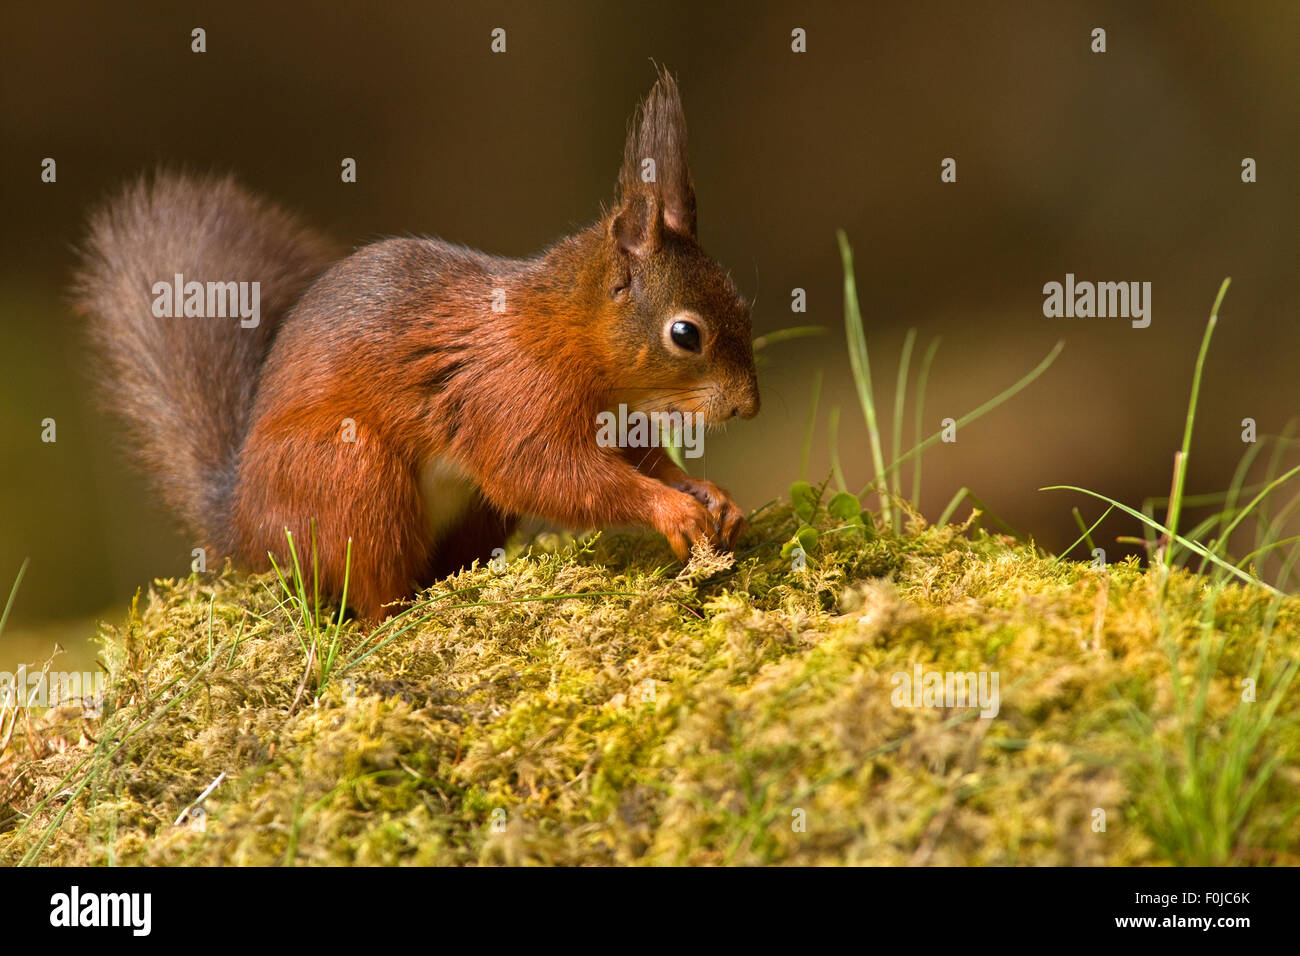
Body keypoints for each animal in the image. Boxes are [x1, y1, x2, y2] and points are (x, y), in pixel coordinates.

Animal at [74, 70, 760, 620]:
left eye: (742, 305)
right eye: (685, 334)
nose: (747, 408)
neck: (566, 332)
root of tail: (245, 526)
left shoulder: (615, 416)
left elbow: (642, 459)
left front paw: (708, 494)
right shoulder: (510, 393)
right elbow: (544, 472)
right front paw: (670, 510)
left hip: (465, 511)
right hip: (349, 476)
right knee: (368, 585)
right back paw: (398, 619)